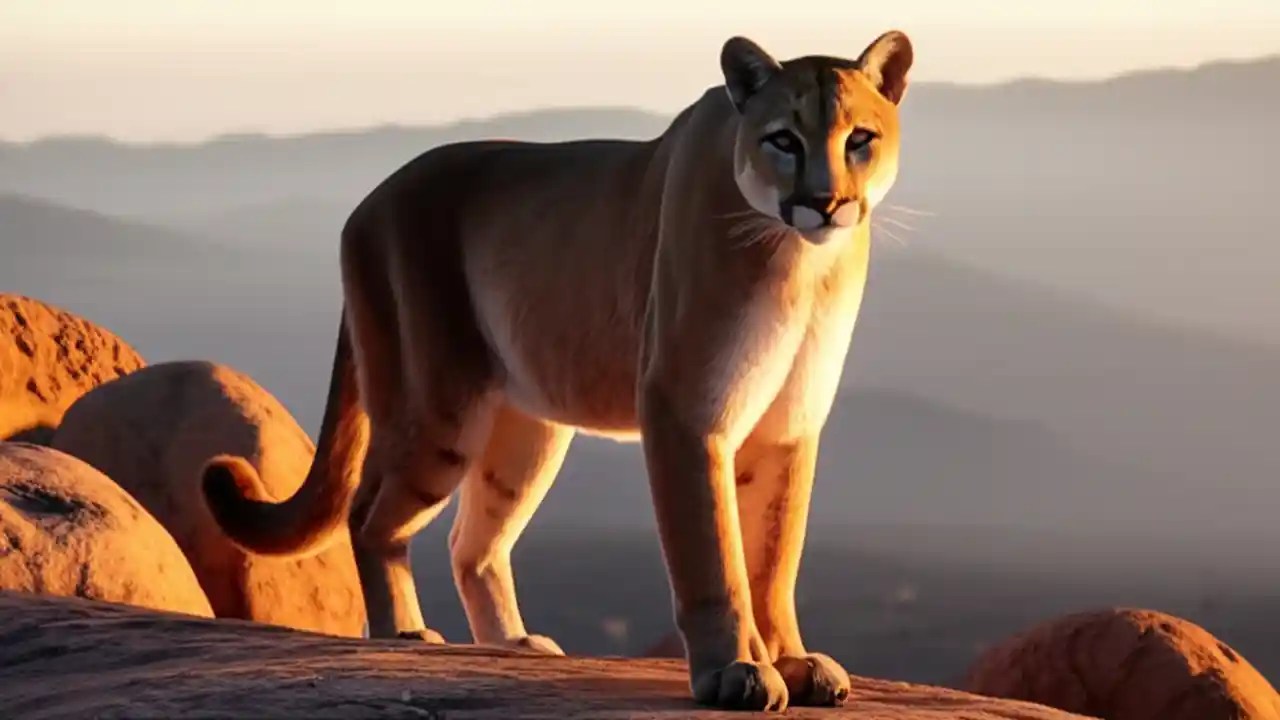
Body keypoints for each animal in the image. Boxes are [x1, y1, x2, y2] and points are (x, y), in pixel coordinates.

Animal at [202, 31, 913, 712]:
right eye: (783, 139)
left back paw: (513, 644)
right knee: (369, 512)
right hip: (437, 416)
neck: (801, 260)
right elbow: (712, 556)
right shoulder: (684, 408)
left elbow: (774, 558)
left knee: (472, 543)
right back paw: (404, 632)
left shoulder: (789, 423)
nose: (824, 202)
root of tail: (367, 202)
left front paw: (793, 660)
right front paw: (733, 671)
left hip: (527, 433)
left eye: (860, 139)